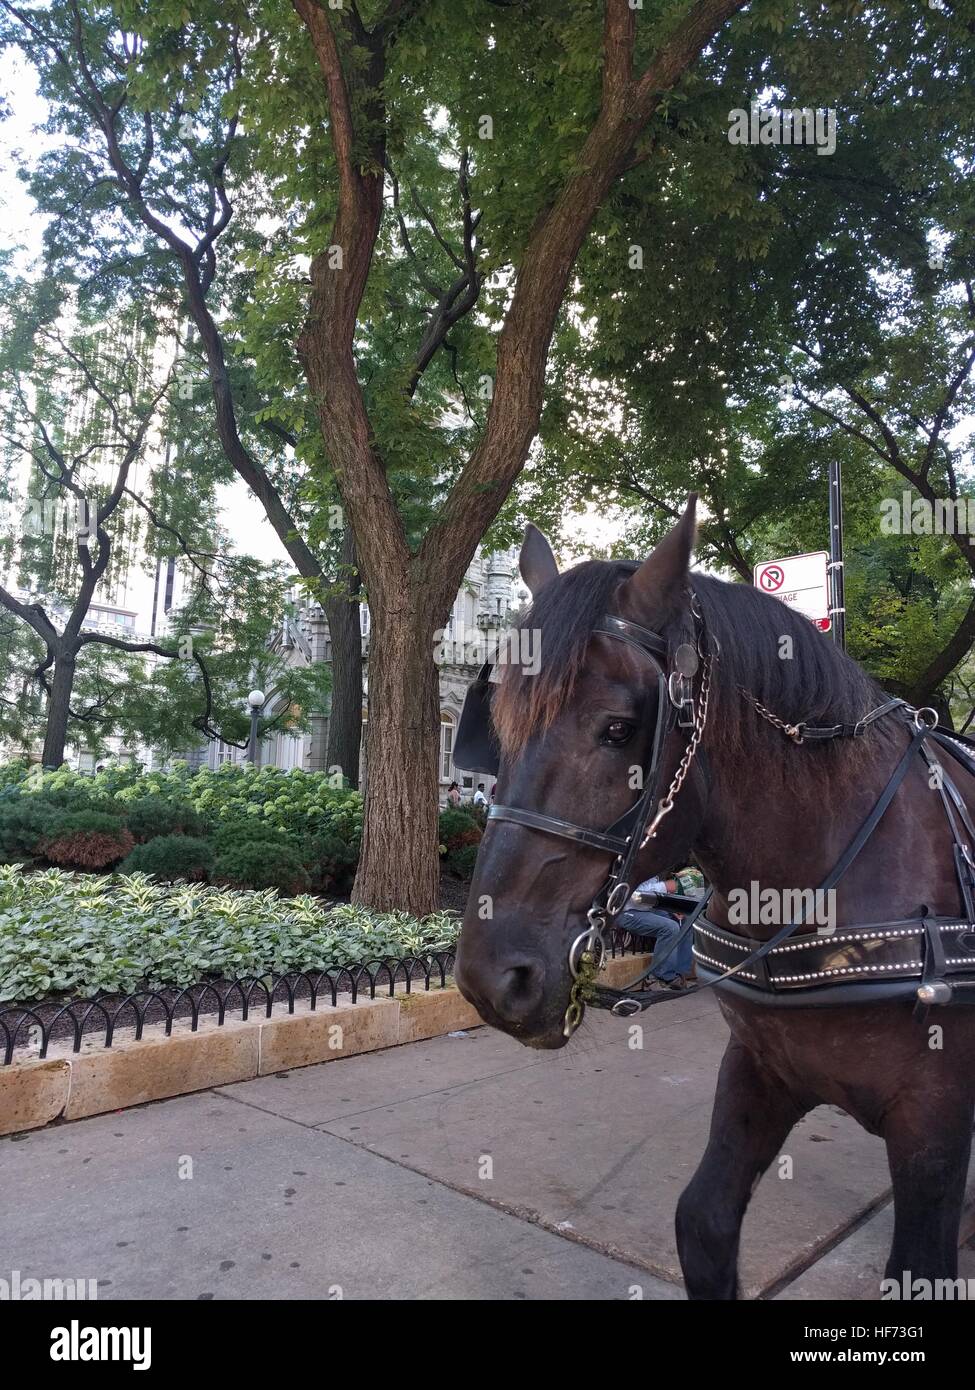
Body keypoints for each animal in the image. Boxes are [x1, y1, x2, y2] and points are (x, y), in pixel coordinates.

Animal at [454, 497, 975, 1300]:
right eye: (499, 730)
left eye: (618, 729)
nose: (490, 978)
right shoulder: (762, 1067)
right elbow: (702, 1221)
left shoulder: (935, 1118)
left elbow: (919, 1265)